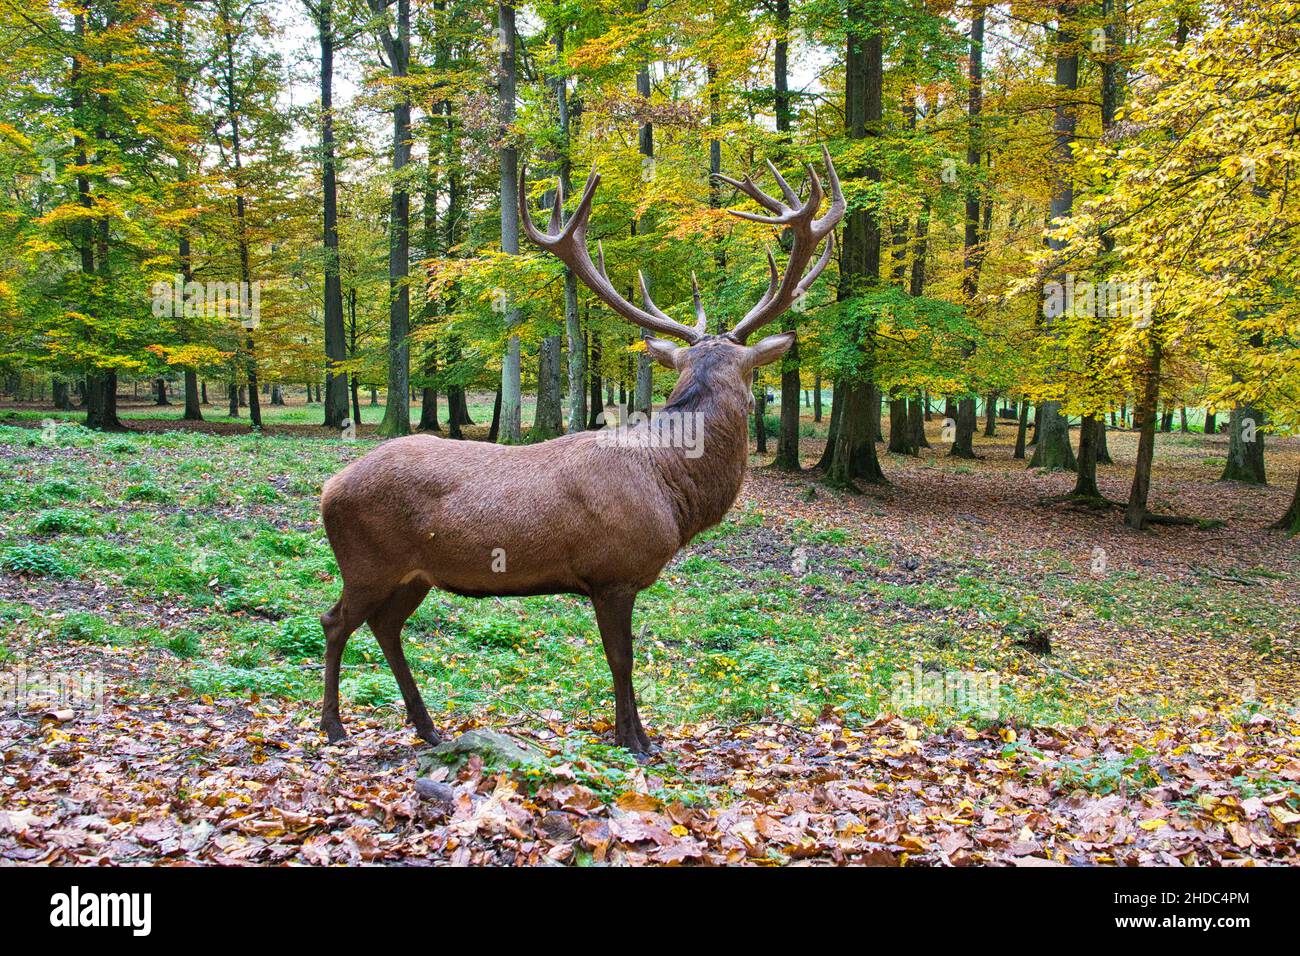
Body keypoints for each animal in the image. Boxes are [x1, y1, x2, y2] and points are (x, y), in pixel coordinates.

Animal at [318, 147, 843, 754]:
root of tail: (327, 489)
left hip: (413, 575)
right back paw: (333, 725)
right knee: (336, 621)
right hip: (368, 563)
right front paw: (635, 740)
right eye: (754, 379)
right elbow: (622, 660)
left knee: (385, 626)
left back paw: (426, 726)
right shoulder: (612, 572)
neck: (673, 491)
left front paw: (633, 734)